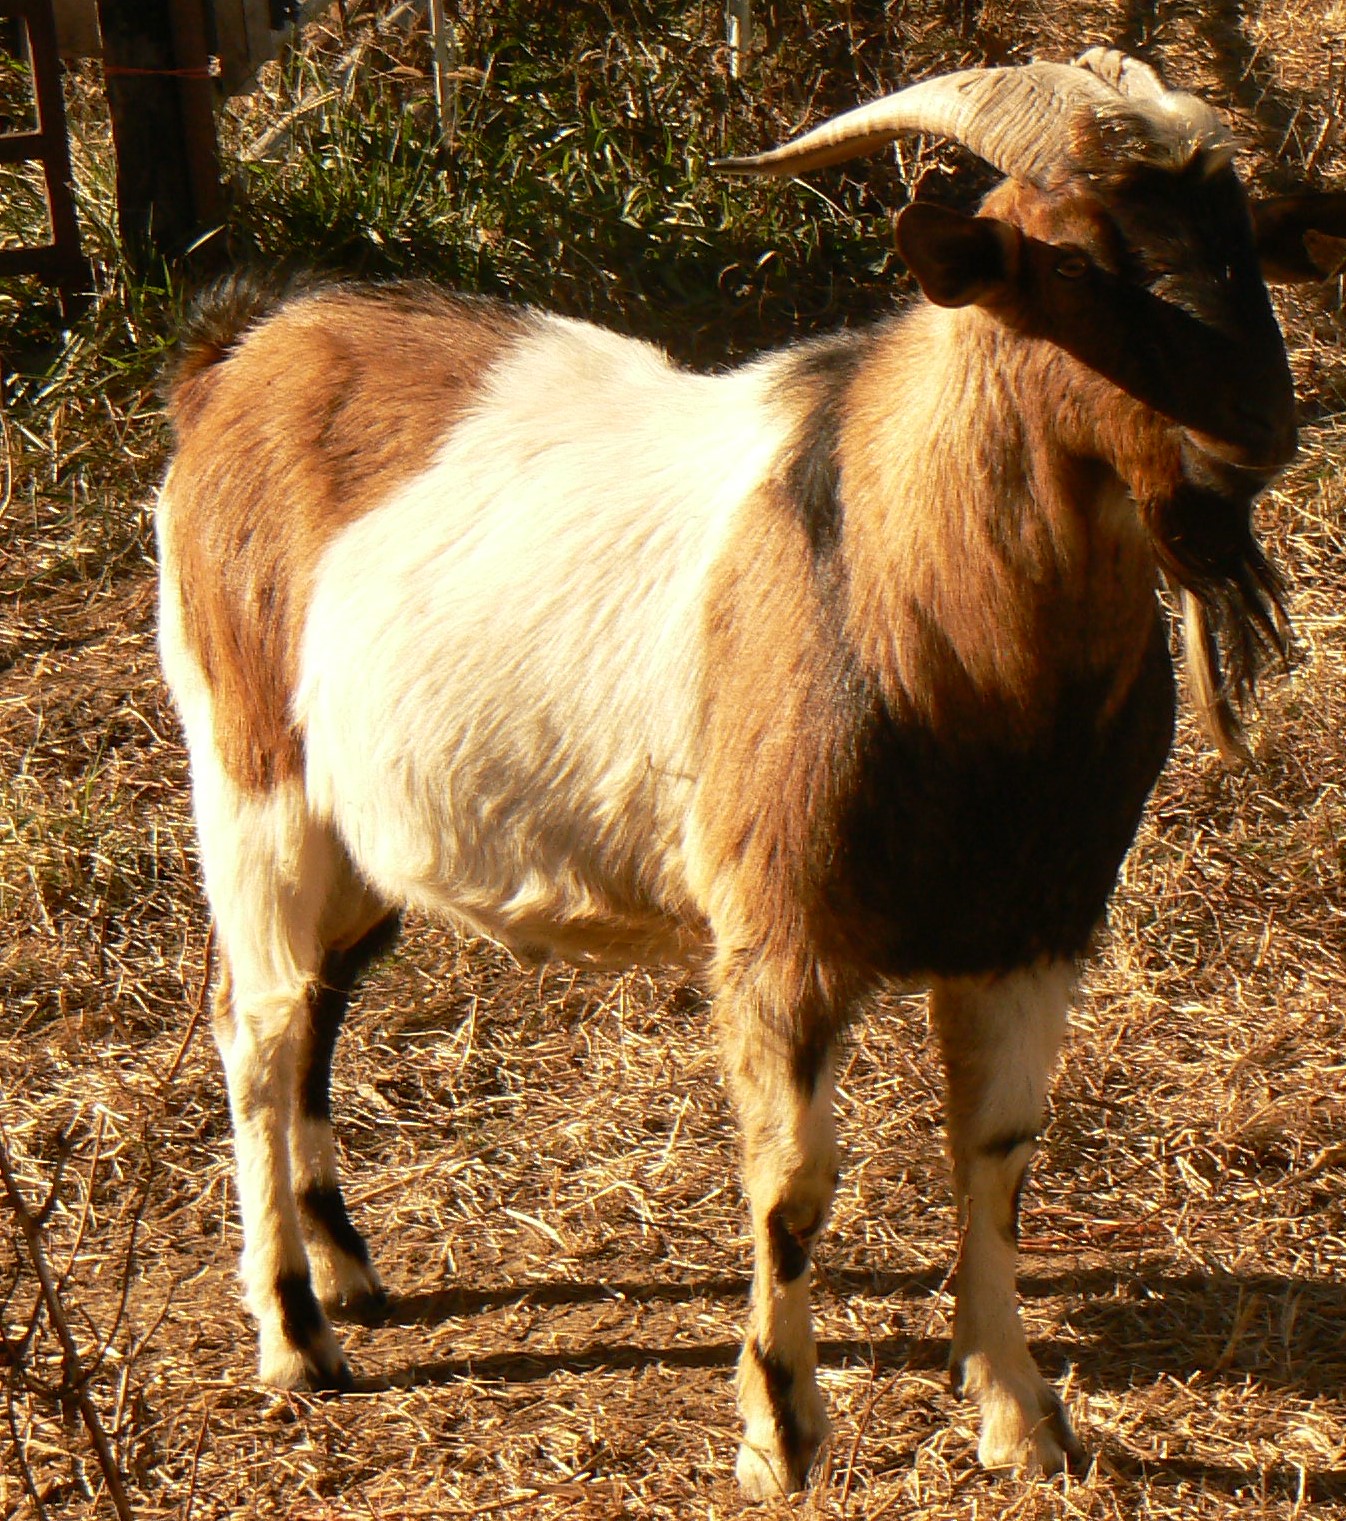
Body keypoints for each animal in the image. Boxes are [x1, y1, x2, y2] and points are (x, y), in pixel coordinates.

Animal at [157, 49, 1343, 1498]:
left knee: (319, 1009)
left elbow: (995, 1161)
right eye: (1065, 259)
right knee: (256, 1026)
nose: (1252, 437)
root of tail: (238, 355)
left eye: (1242, 240)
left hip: (362, 832)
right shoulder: (781, 935)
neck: (915, 591)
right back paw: (292, 1335)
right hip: (248, 781)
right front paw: (779, 1433)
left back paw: (349, 1275)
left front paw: (1020, 1419)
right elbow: (792, 1186)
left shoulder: (1032, 926)